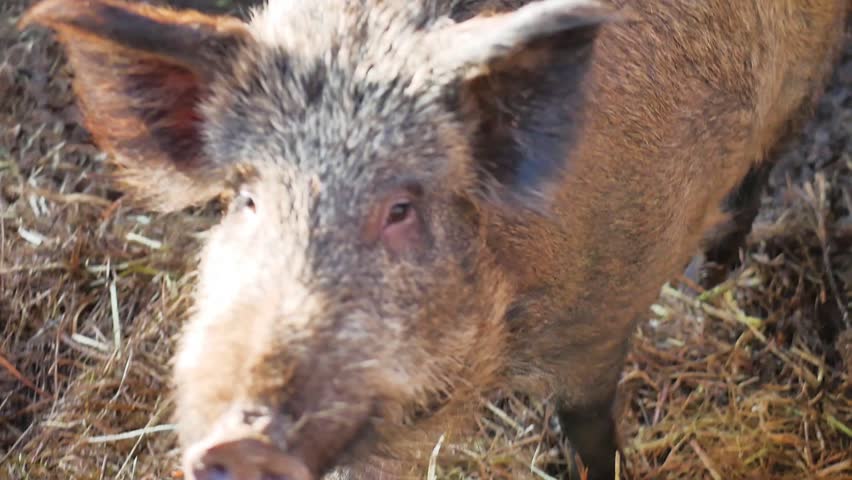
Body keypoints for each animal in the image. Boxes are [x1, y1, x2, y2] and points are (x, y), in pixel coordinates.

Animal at [20, 0, 849, 479]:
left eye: (401, 208)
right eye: (247, 199)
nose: (241, 440)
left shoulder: (604, 316)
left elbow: (588, 432)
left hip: (805, 71)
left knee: (770, 153)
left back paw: (713, 277)